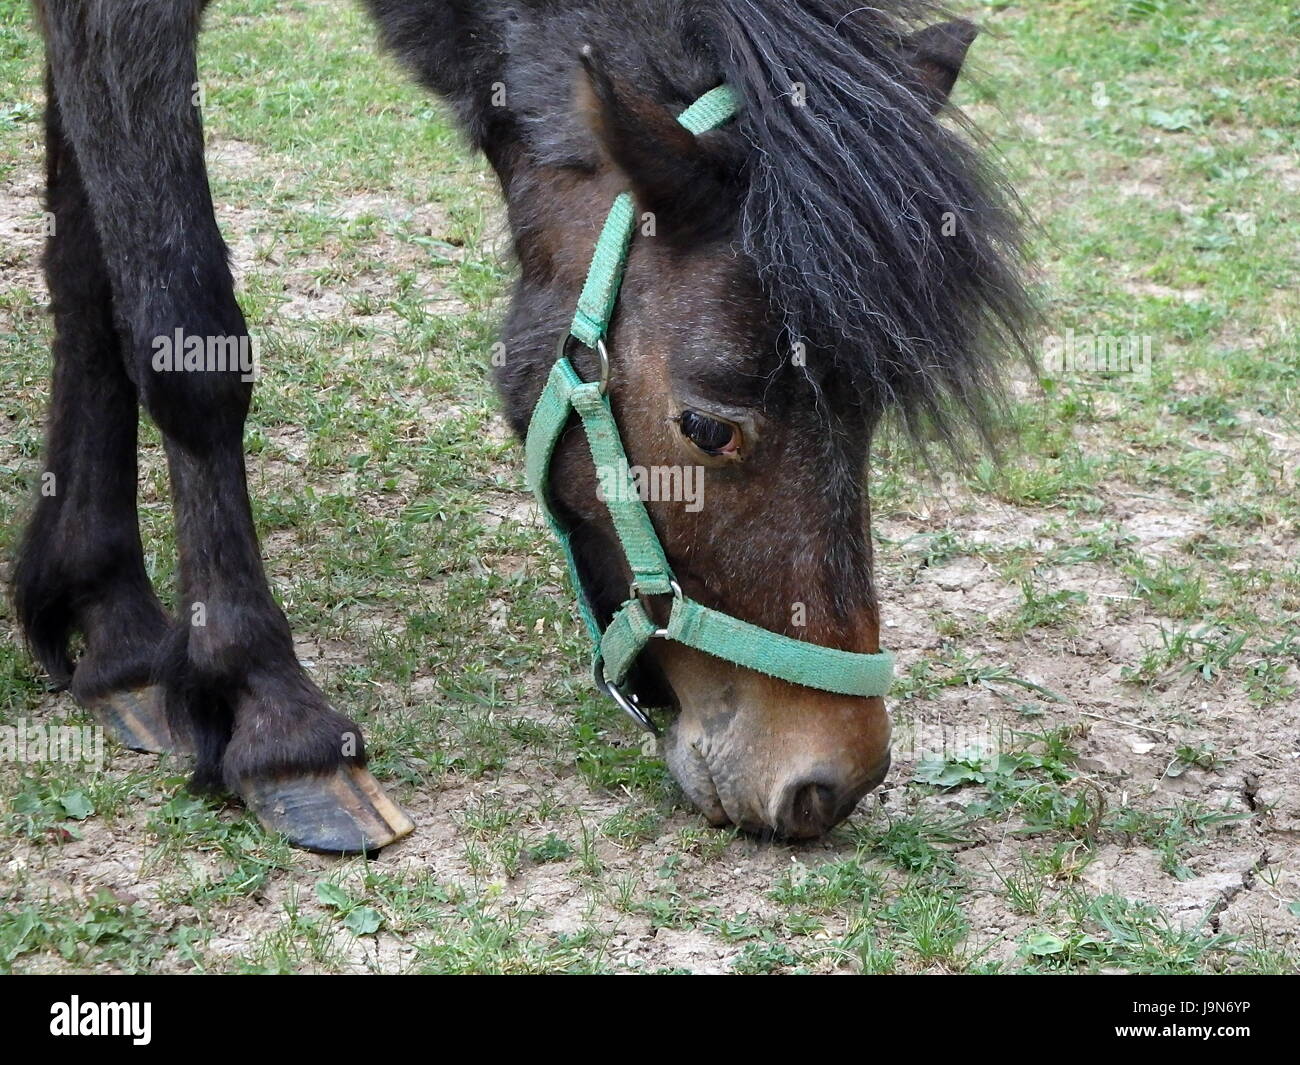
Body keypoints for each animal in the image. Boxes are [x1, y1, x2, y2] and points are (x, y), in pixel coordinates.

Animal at [11, 0, 1030, 853]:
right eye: (708, 428)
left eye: (867, 419)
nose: (832, 778)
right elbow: (184, 336)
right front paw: (270, 714)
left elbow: (87, 265)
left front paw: (109, 623)